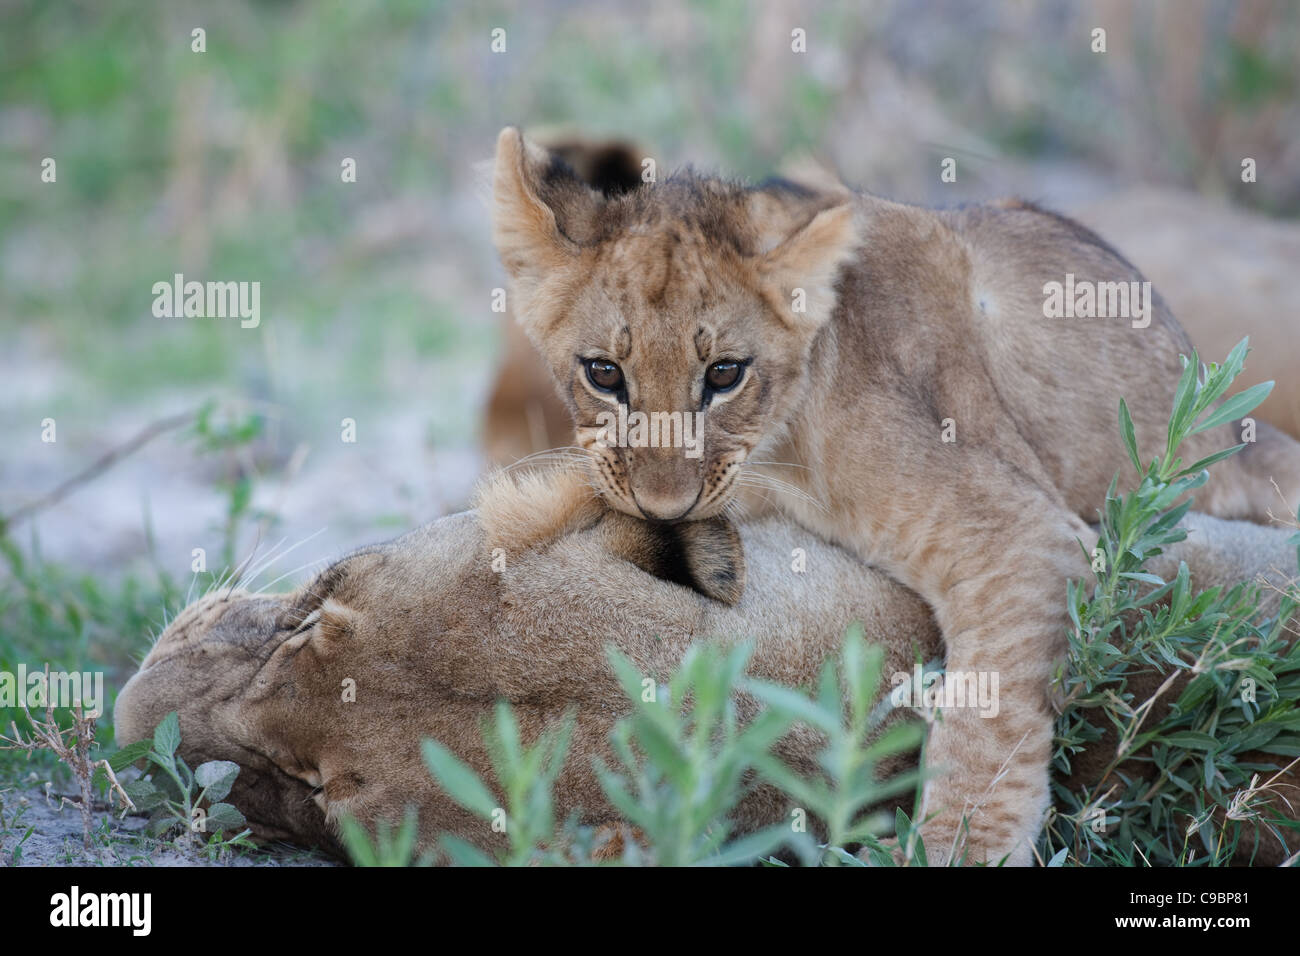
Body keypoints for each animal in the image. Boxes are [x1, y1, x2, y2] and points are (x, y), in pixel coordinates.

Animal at [487, 126, 1300, 863]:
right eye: (603, 373)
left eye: (724, 374)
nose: (664, 505)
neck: (781, 445)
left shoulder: (1024, 534)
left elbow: (987, 720)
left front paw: (956, 848)